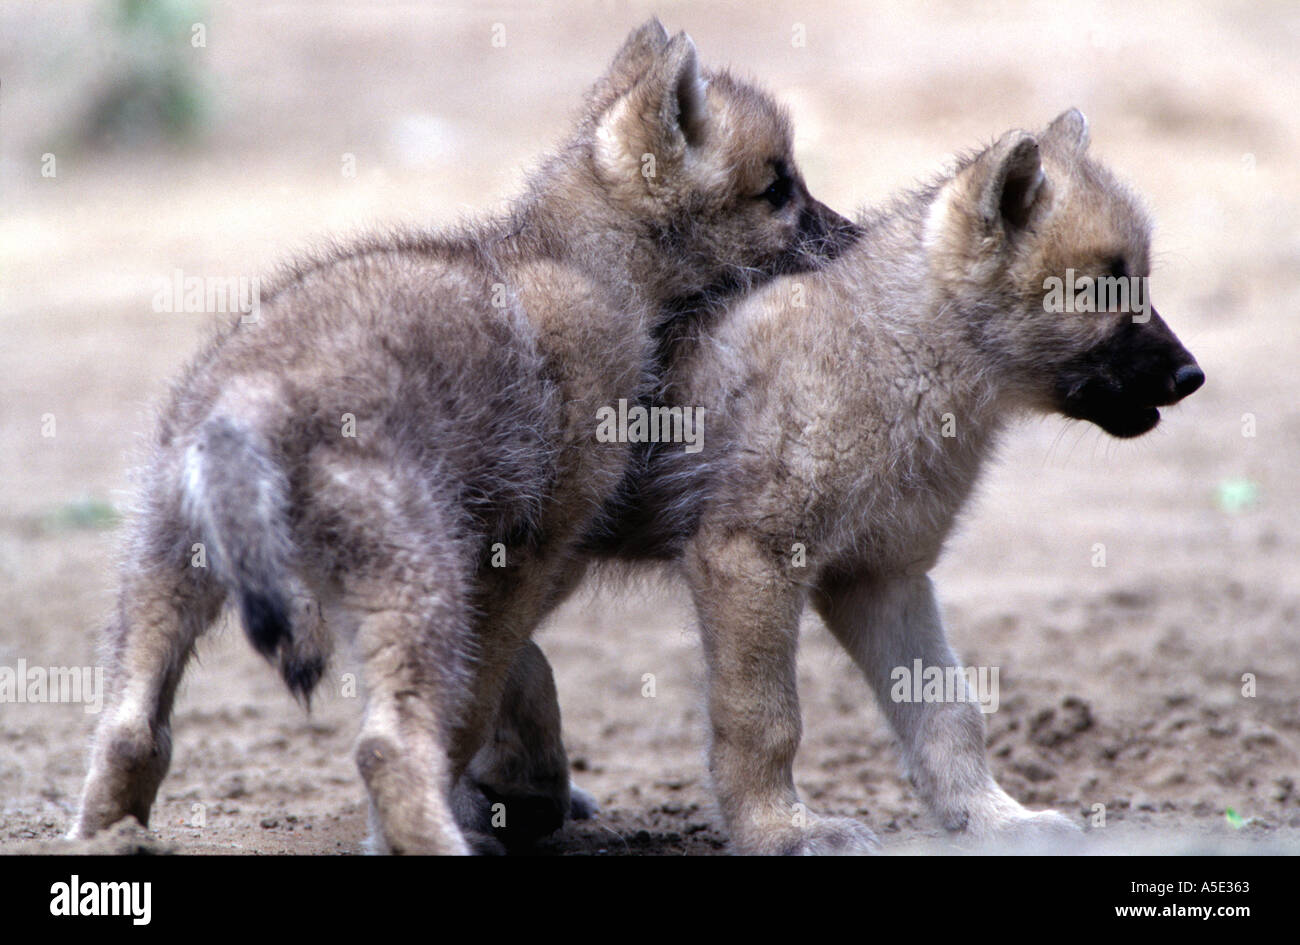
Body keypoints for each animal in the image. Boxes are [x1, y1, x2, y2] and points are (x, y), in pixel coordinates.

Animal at [68, 19, 852, 855]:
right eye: (778, 190)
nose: (855, 234)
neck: (585, 262)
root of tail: (249, 401)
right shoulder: (530, 547)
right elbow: (475, 703)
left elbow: (510, 684)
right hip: (413, 581)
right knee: (386, 745)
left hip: (162, 566)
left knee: (129, 728)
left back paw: (107, 837)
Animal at [483, 110, 1205, 854]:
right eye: (1101, 287)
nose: (1192, 376)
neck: (905, 357)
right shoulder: (750, 558)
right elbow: (765, 720)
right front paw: (780, 829)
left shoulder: (884, 577)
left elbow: (948, 712)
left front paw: (992, 818)